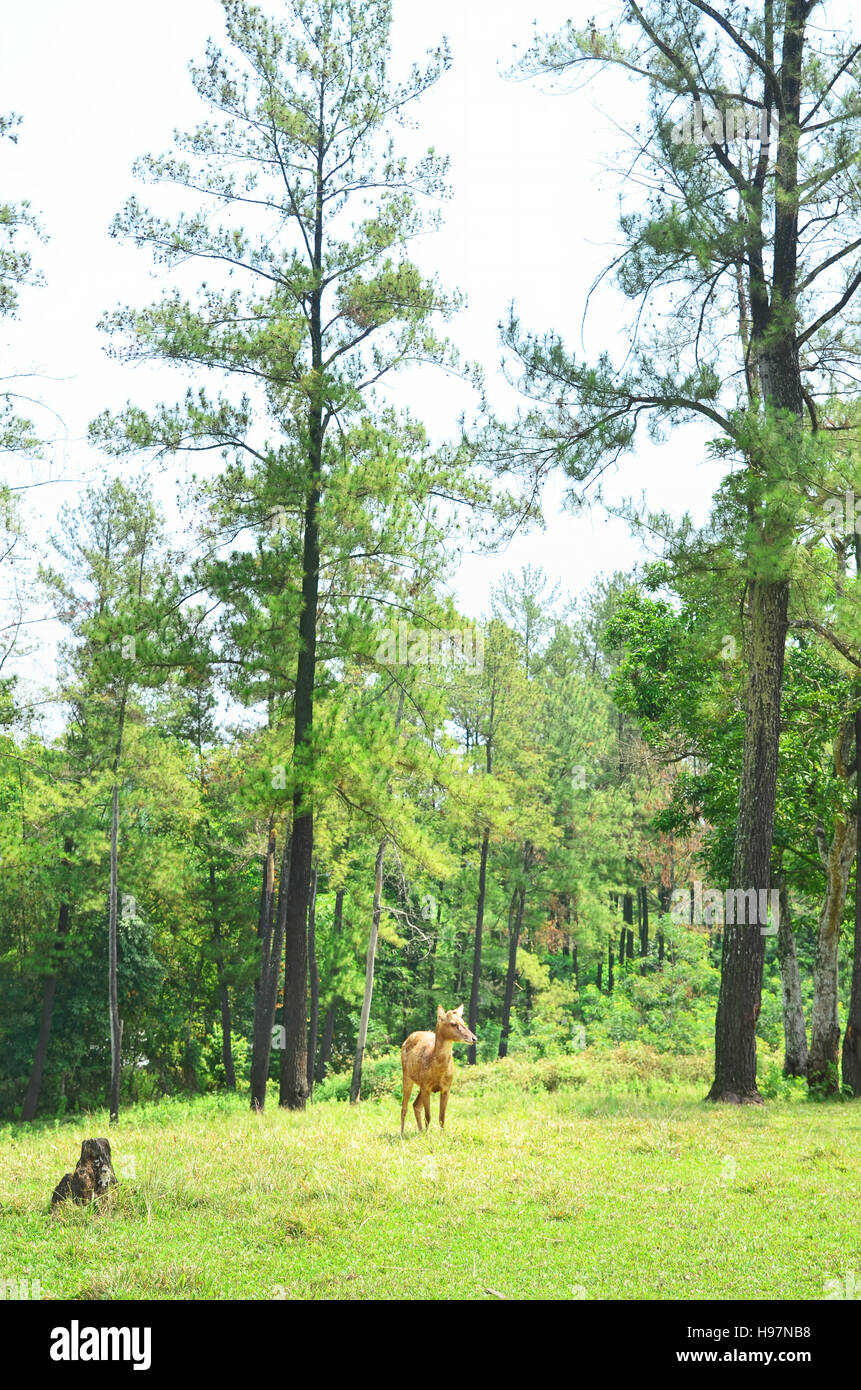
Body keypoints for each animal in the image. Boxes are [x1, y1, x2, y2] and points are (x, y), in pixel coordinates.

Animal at [400, 1004, 476, 1135]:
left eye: (463, 1021)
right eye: (453, 1024)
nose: (474, 1038)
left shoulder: (446, 1088)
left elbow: (442, 1117)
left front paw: (441, 1135)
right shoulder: (426, 1087)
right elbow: (428, 1116)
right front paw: (427, 1135)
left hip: (420, 1084)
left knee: (415, 1105)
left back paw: (419, 1131)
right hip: (407, 1075)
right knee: (404, 1107)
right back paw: (402, 1133)